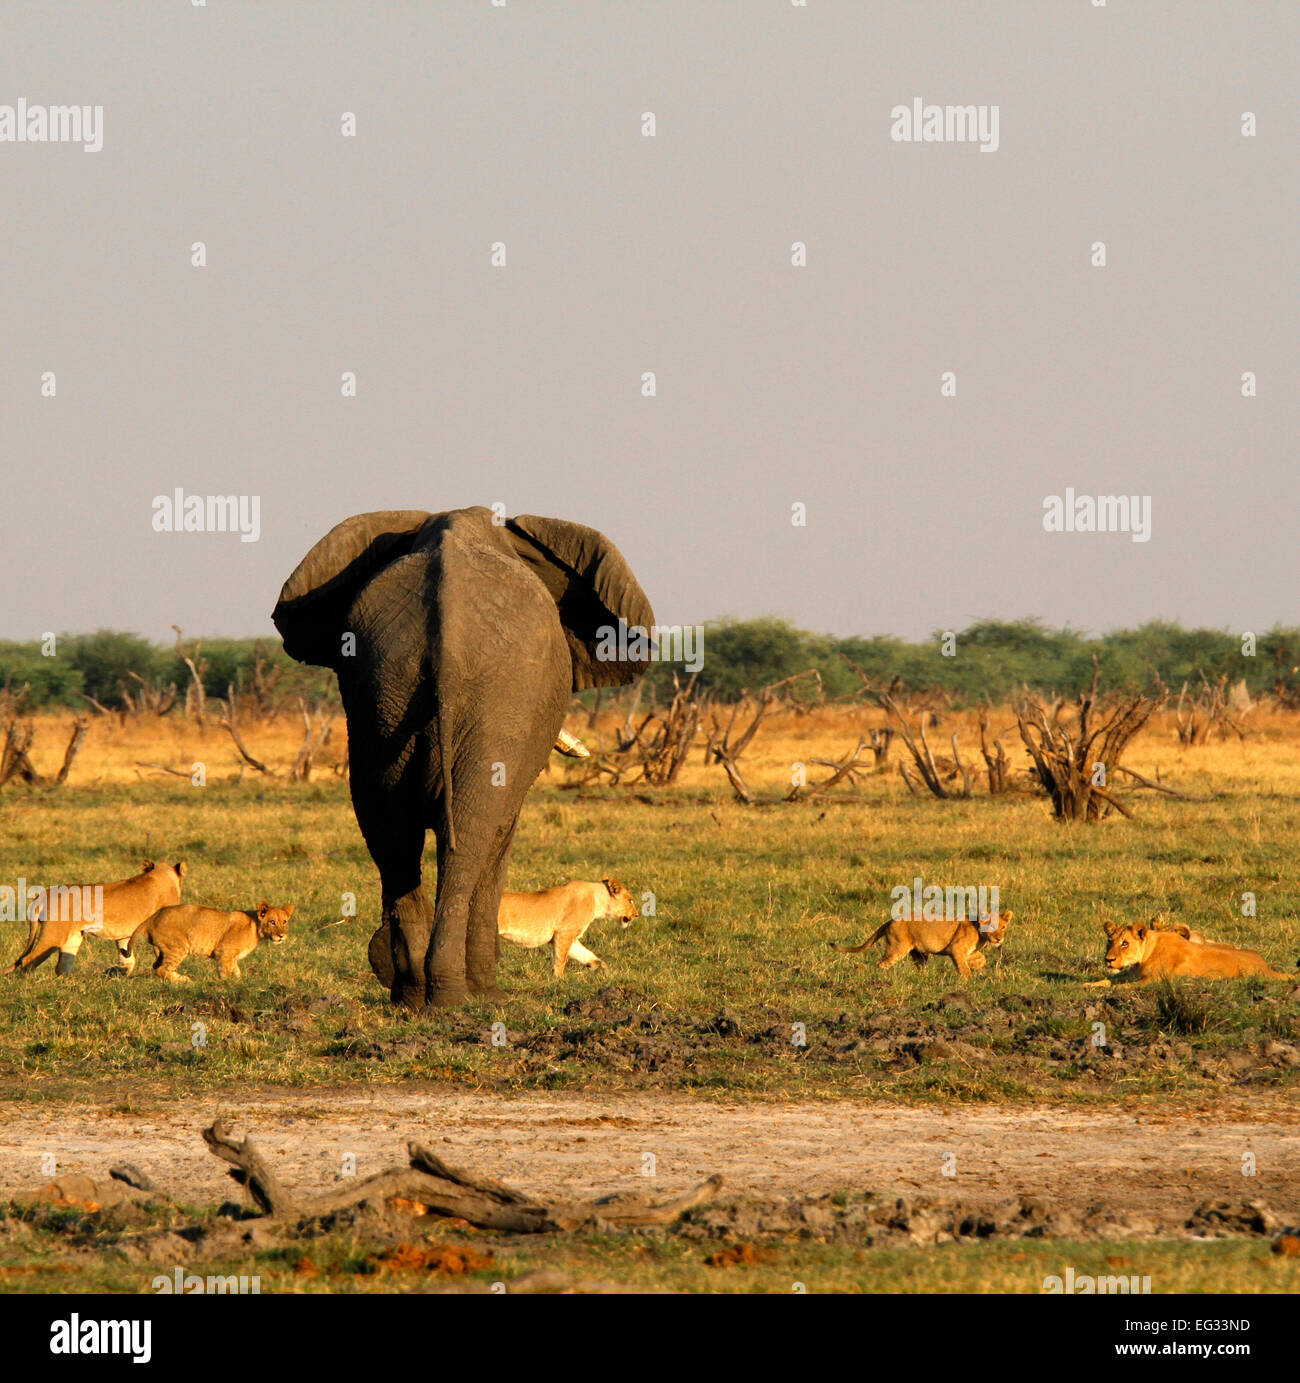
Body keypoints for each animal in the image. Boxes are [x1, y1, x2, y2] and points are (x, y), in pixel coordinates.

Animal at [271, 506, 654, 1010]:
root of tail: (445, 627)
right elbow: (500, 837)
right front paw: (490, 993)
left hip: (380, 688)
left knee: (389, 831)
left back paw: (410, 994)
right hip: (498, 702)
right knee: (470, 840)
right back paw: (465, 998)